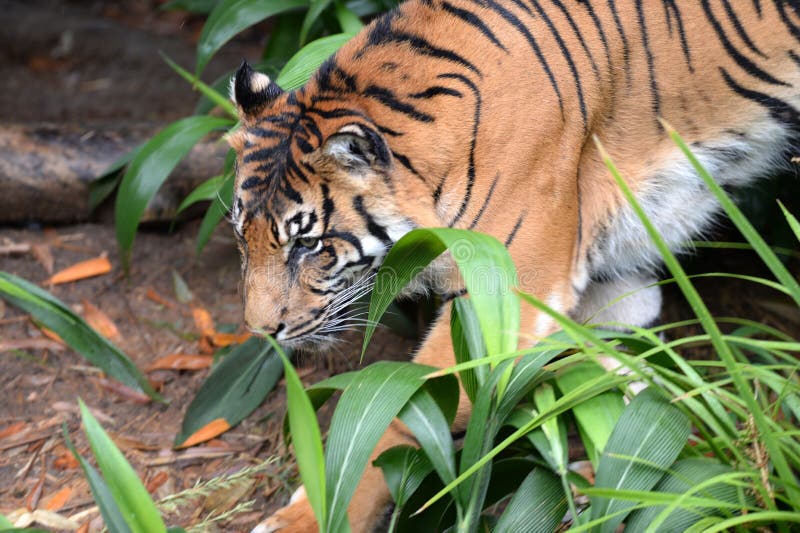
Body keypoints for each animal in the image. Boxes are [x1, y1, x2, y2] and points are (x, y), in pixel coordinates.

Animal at [226, 0, 800, 531]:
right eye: (240, 236)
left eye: (307, 244)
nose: (259, 331)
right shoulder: (611, 280)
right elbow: (622, 373)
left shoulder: (510, 297)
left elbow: (402, 412)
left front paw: (315, 513)